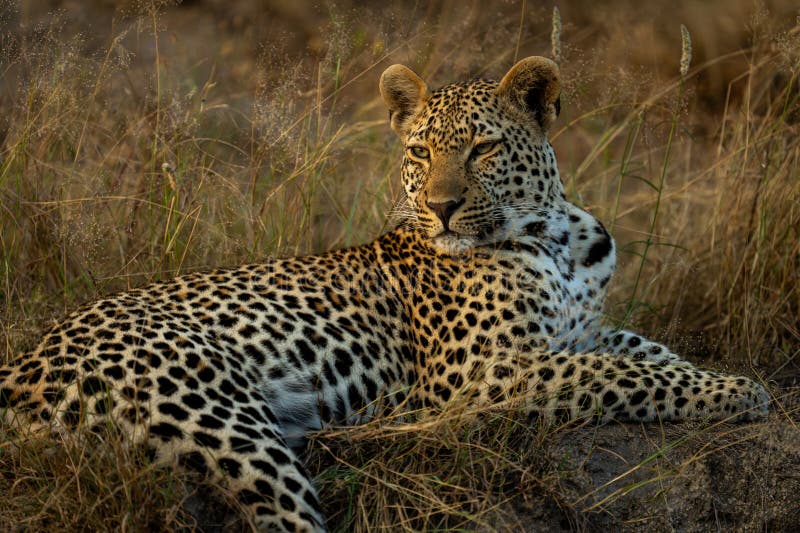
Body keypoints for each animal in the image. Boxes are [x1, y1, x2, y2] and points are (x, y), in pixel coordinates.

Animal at [0, 57, 770, 532]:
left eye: (484, 149)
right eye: (420, 151)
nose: (443, 208)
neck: (555, 233)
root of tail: (20, 366)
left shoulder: (579, 329)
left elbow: (647, 351)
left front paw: (713, 374)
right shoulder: (483, 370)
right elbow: (618, 374)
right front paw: (737, 391)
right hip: (220, 418)